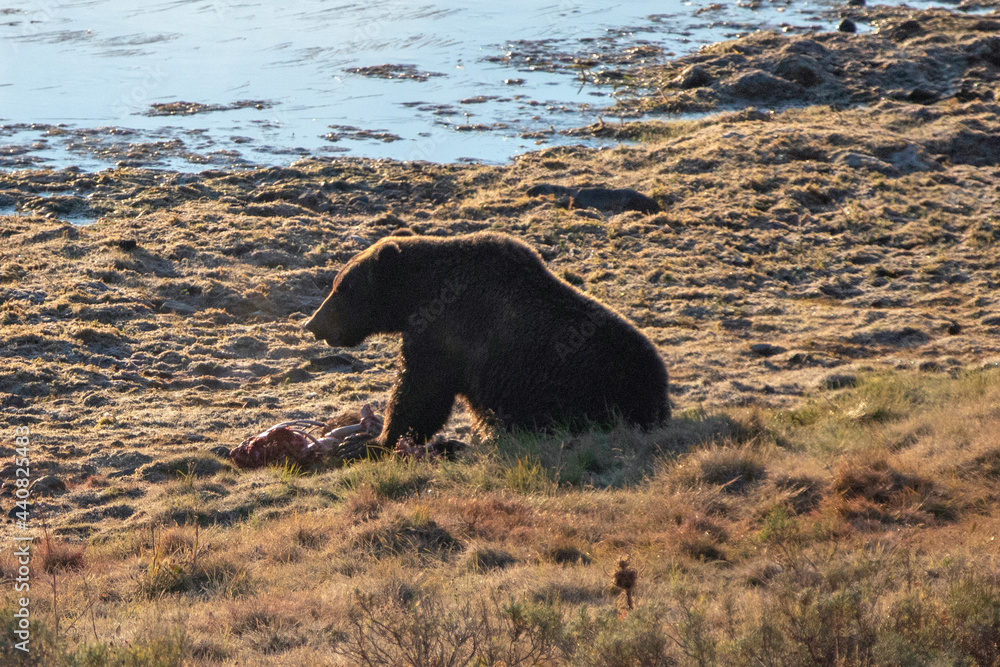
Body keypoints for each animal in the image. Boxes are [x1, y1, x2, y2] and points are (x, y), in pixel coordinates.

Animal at [303, 232, 669, 454]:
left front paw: (373, 440)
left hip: (582, 384)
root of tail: (659, 385)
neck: (418, 296)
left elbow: (419, 394)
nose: (313, 324)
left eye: (342, 287)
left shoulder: (444, 336)